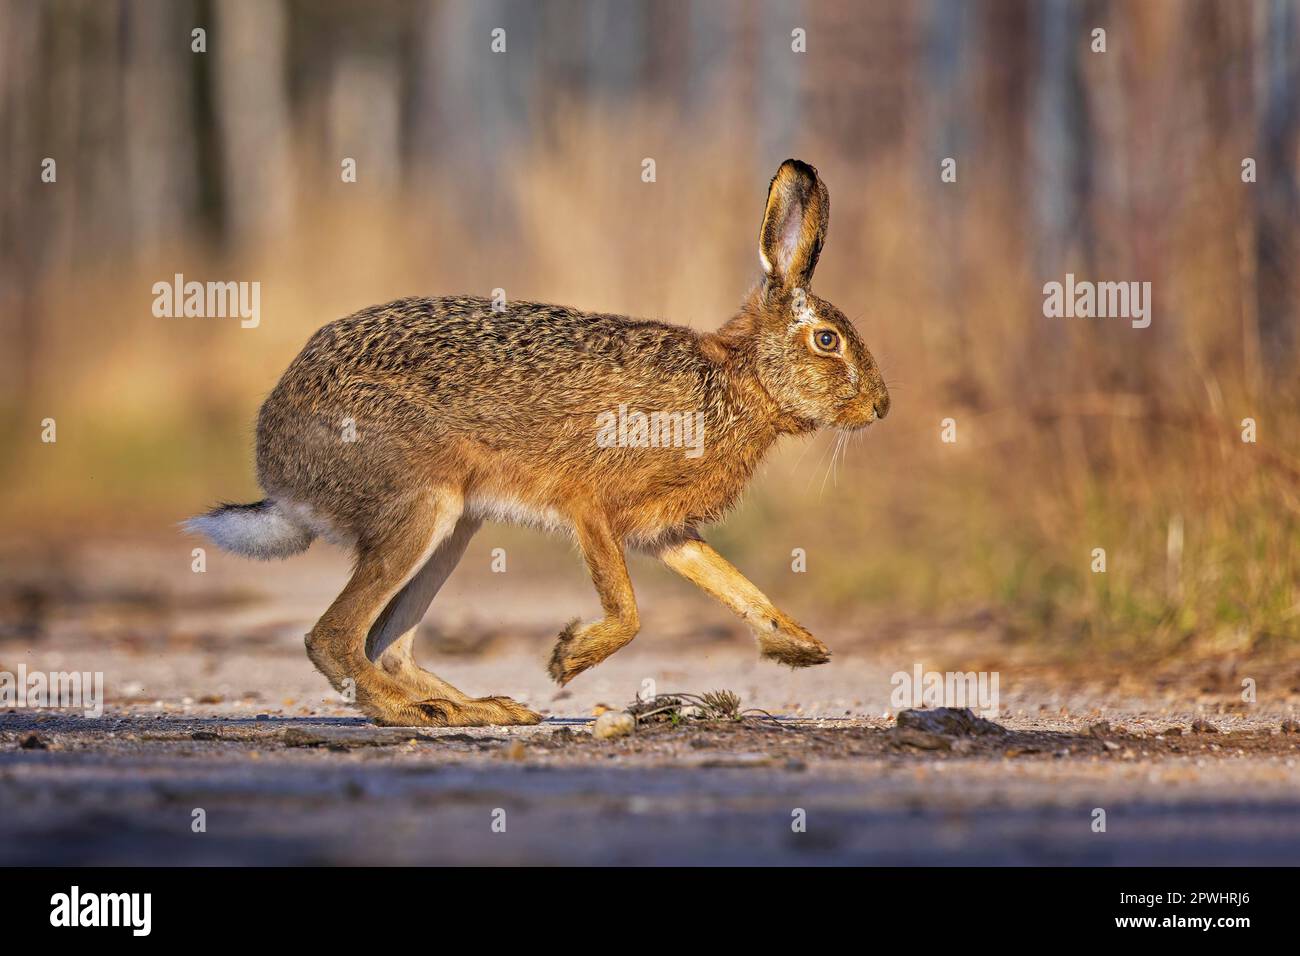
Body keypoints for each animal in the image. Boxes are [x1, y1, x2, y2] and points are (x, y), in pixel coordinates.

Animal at [186, 159, 890, 727]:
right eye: (827, 340)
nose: (880, 407)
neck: (739, 383)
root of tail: (279, 468)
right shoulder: (593, 507)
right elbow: (629, 611)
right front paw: (567, 660)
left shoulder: (666, 530)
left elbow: (736, 585)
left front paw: (800, 647)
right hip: (420, 502)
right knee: (333, 637)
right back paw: (414, 714)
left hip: (453, 525)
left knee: (388, 643)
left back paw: (478, 709)